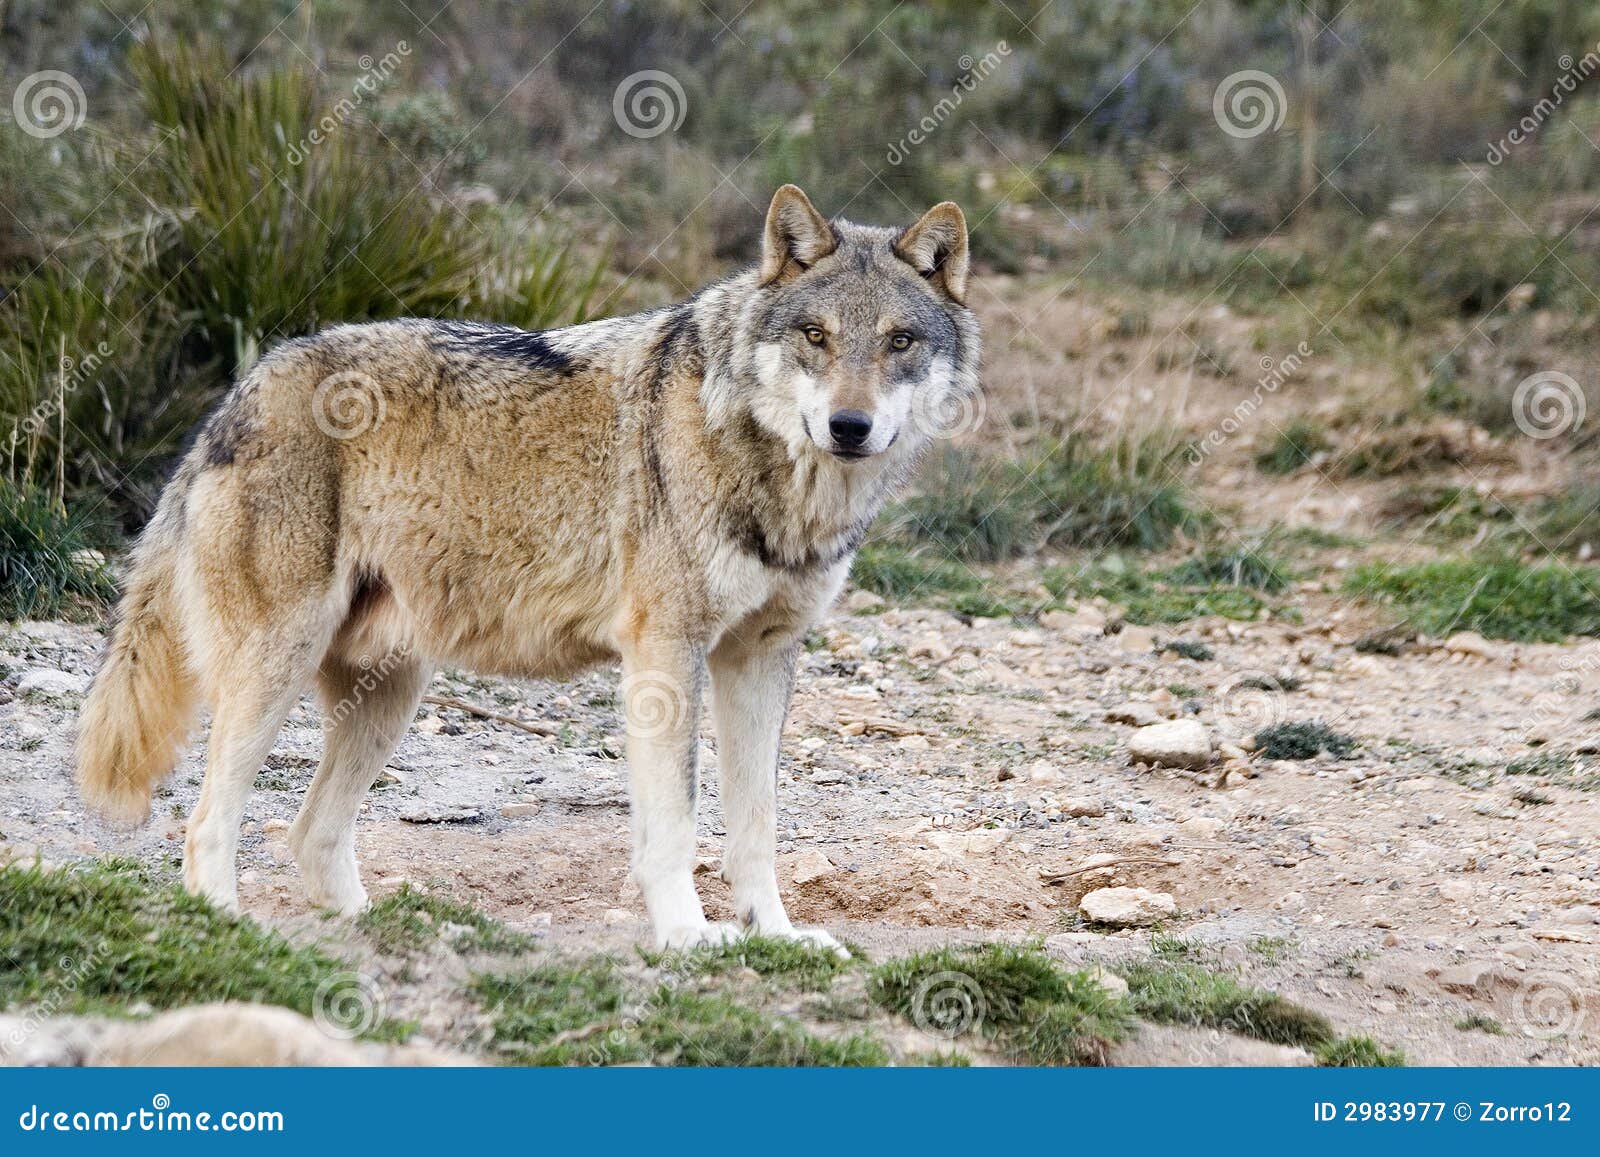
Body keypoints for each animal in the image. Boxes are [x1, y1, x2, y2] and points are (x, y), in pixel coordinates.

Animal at [75, 185, 980, 950]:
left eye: (899, 341)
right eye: (815, 335)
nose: (850, 426)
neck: (779, 482)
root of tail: (239, 391)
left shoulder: (761, 656)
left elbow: (756, 824)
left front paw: (779, 936)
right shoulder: (666, 652)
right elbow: (676, 824)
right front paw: (690, 937)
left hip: (388, 696)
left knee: (309, 833)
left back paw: (398, 927)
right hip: (275, 672)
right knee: (206, 822)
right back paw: (229, 930)